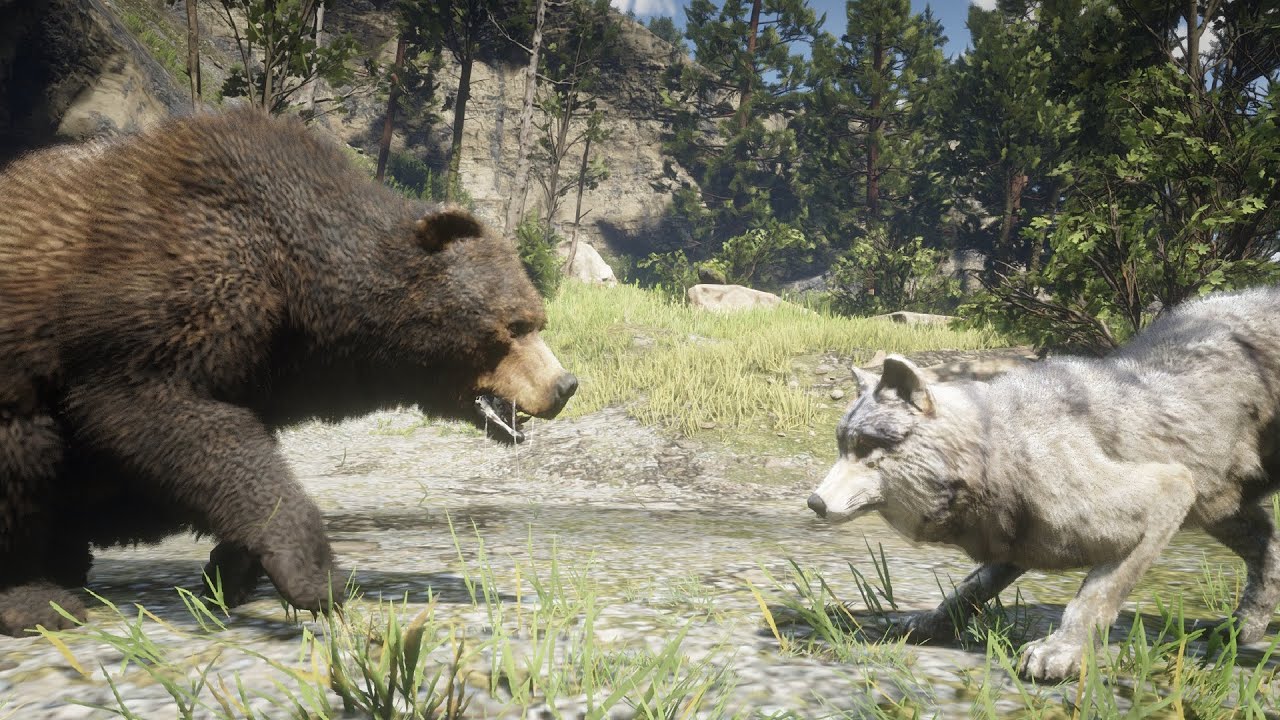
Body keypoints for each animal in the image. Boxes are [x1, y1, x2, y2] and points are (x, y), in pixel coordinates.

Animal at [0, 106, 578, 636]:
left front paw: (231, 568)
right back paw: (36, 598)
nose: (564, 385)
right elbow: (155, 413)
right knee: (27, 451)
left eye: (538, 318)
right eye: (515, 325)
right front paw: (315, 576)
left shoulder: (264, 368)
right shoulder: (162, 300)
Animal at [807, 284, 1280, 680]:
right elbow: (969, 589)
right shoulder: (1016, 542)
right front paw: (930, 623)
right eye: (841, 446)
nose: (814, 503)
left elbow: (1095, 596)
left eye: (865, 448)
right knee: (1269, 546)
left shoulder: (1169, 490)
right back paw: (1242, 629)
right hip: (1219, 510)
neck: (999, 454)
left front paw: (1062, 652)